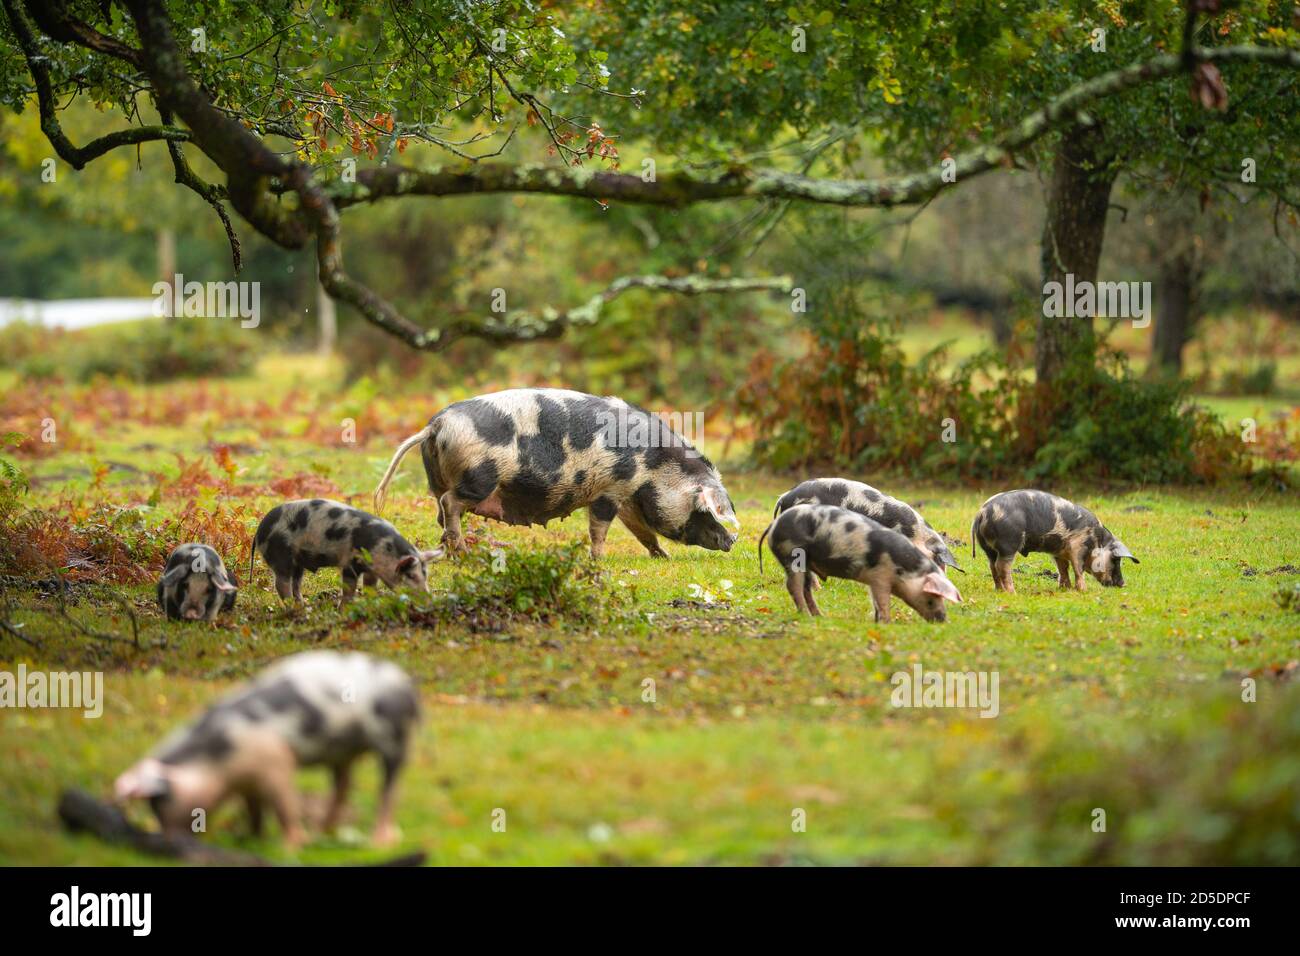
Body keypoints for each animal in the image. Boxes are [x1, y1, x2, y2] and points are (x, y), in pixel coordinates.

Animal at [114, 650, 419, 847]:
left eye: (162, 801)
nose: (169, 842)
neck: (218, 756)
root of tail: (406, 688)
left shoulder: (277, 762)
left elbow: (284, 804)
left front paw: (291, 845)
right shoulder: (248, 779)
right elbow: (254, 809)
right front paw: (250, 837)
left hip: (393, 738)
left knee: (389, 788)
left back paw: (379, 842)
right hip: (341, 752)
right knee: (344, 784)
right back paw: (322, 831)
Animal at [251, 499, 442, 603]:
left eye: (425, 575)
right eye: (410, 575)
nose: (428, 598)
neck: (382, 547)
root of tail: (260, 530)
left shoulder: (371, 570)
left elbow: (370, 587)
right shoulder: (351, 563)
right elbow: (349, 589)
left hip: (298, 562)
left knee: (295, 584)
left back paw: (303, 607)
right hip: (281, 554)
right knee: (281, 583)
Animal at [373, 388, 739, 558]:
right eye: (705, 509)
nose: (733, 539)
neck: (652, 468)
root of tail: (436, 426)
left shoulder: (628, 496)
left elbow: (641, 531)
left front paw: (662, 556)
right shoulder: (609, 489)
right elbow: (599, 529)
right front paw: (598, 560)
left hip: (437, 477)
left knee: (440, 509)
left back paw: (450, 548)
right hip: (480, 476)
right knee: (451, 502)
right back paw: (461, 551)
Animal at [759, 503, 963, 621]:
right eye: (930, 600)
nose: (944, 620)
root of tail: (773, 525)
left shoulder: (874, 580)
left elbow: (875, 602)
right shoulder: (881, 576)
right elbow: (882, 601)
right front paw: (886, 623)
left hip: (806, 563)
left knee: (806, 587)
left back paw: (820, 616)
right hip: (792, 555)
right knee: (793, 585)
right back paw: (807, 616)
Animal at [971, 489, 1138, 592]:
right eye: (1116, 560)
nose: (1123, 584)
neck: (1096, 540)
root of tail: (981, 513)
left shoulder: (1059, 551)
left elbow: (1063, 569)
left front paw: (1065, 589)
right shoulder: (1077, 545)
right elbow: (1078, 568)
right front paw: (1083, 590)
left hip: (988, 548)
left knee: (992, 566)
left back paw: (1000, 590)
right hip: (1008, 543)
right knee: (1002, 567)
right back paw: (1012, 593)